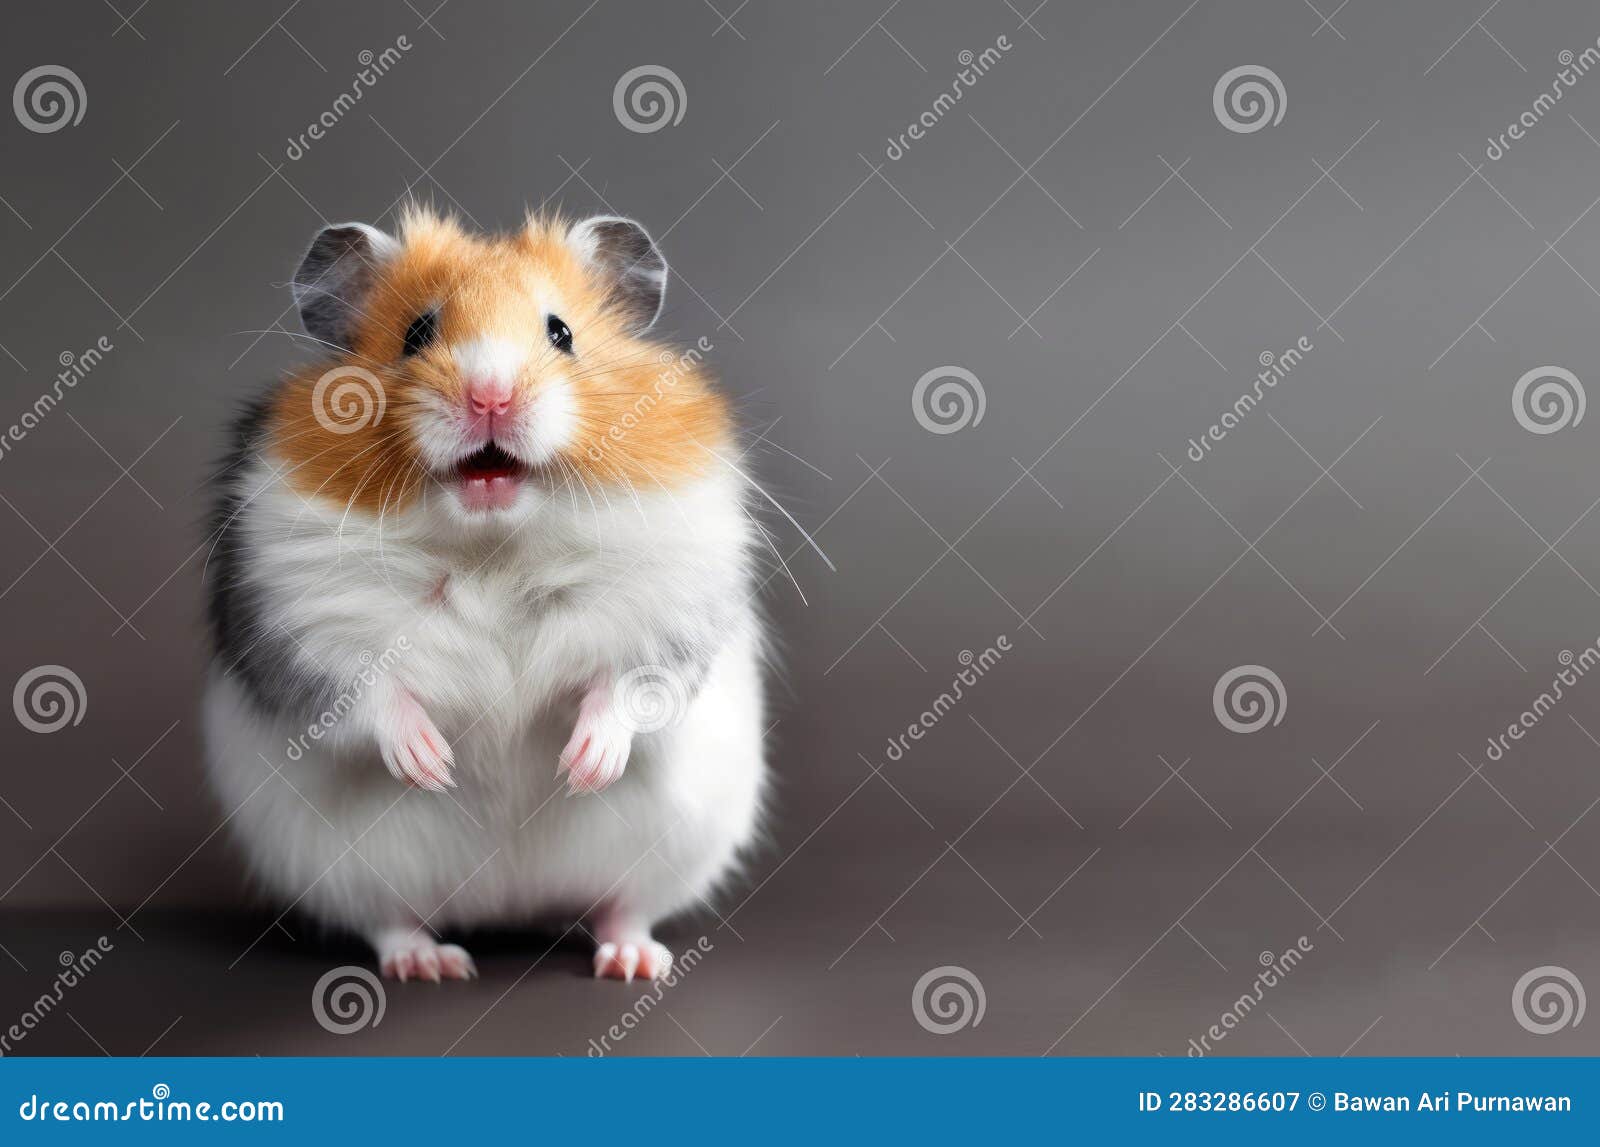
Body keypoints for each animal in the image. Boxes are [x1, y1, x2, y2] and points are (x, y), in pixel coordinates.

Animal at [202, 207, 766, 982]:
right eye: (417, 333)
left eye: (561, 332)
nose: (490, 396)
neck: (494, 546)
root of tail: (509, 905)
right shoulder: (294, 621)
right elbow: (365, 690)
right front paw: (431, 765)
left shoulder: (675, 608)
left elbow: (630, 685)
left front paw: (584, 766)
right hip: (340, 870)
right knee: (388, 921)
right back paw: (433, 964)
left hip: (675, 850)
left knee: (623, 905)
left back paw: (632, 960)